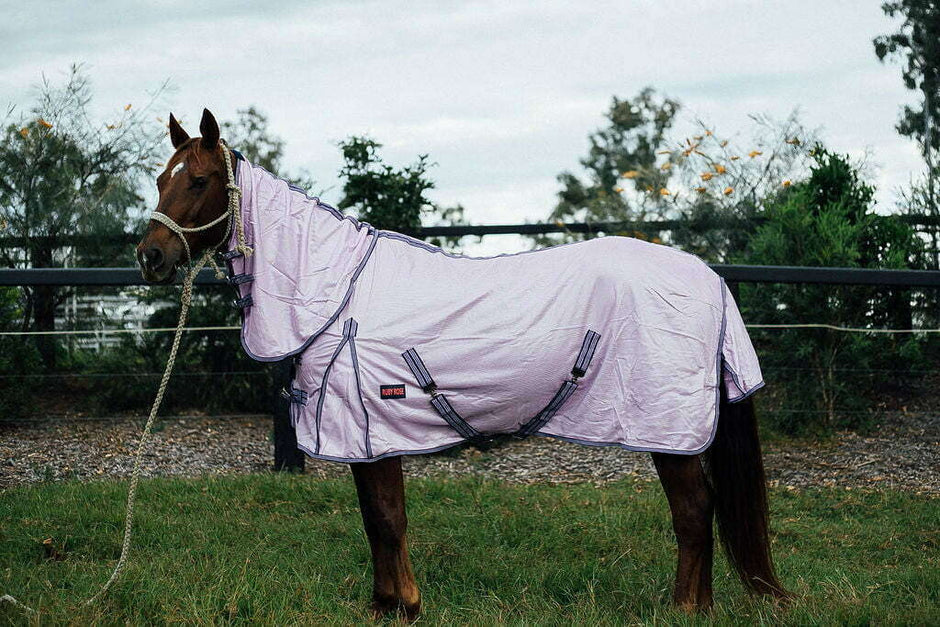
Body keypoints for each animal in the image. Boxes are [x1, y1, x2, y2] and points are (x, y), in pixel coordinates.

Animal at [136, 109, 786, 619]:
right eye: (162, 180)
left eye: (199, 180)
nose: (150, 257)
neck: (338, 289)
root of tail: (708, 277)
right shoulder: (367, 436)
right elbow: (375, 518)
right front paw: (386, 605)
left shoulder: (372, 430)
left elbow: (386, 518)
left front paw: (403, 605)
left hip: (666, 427)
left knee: (694, 511)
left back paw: (684, 608)